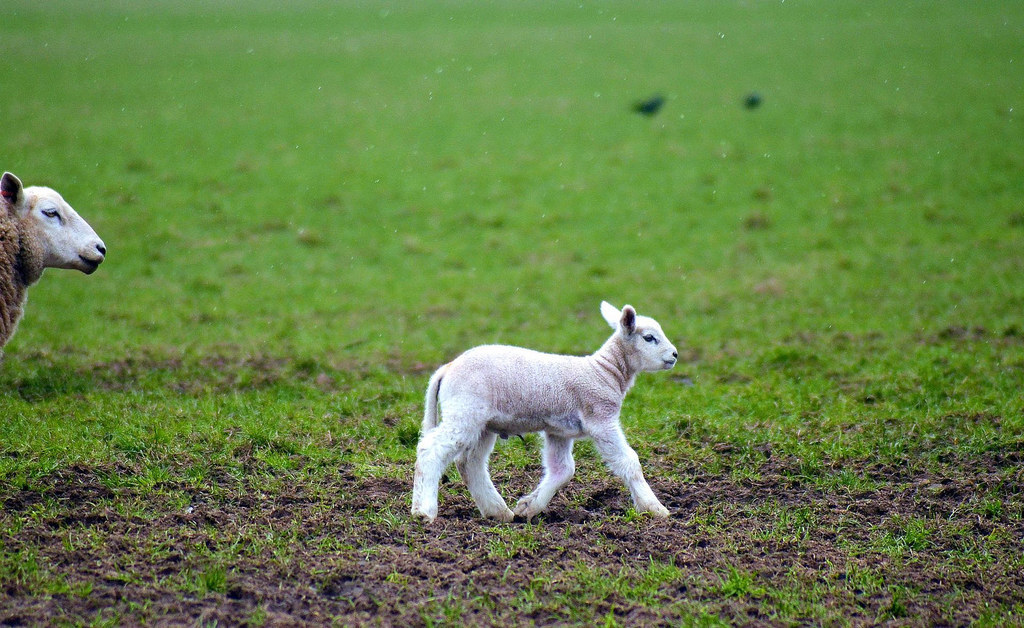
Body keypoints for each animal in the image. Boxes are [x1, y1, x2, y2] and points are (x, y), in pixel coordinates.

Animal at [411, 301, 678, 523]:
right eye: (649, 338)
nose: (674, 355)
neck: (604, 372)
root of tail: (446, 368)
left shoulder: (559, 430)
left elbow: (563, 470)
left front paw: (529, 506)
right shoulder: (601, 419)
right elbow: (629, 461)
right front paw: (655, 509)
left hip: (482, 424)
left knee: (470, 462)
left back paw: (499, 512)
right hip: (464, 413)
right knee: (431, 450)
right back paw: (423, 511)